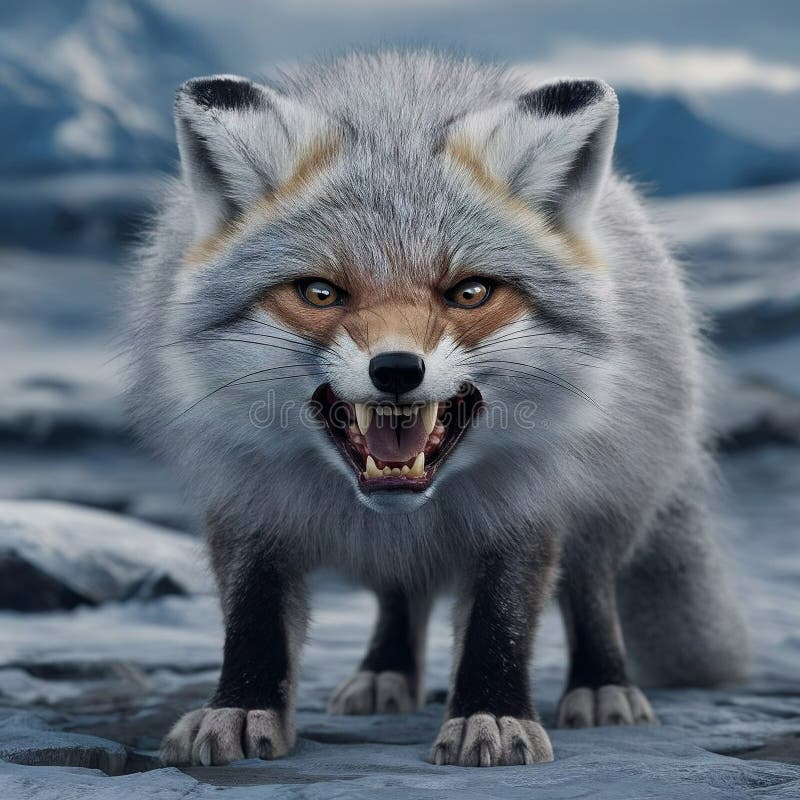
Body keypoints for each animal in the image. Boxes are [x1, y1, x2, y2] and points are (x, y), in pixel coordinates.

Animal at [127, 50, 748, 767]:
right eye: (320, 292)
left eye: (470, 292)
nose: (397, 369)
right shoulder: (245, 496)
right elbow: (253, 616)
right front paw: (238, 709)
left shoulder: (529, 501)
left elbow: (501, 622)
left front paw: (493, 716)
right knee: (402, 593)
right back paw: (385, 671)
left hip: (612, 507)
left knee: (590, 593)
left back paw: (601, 686)